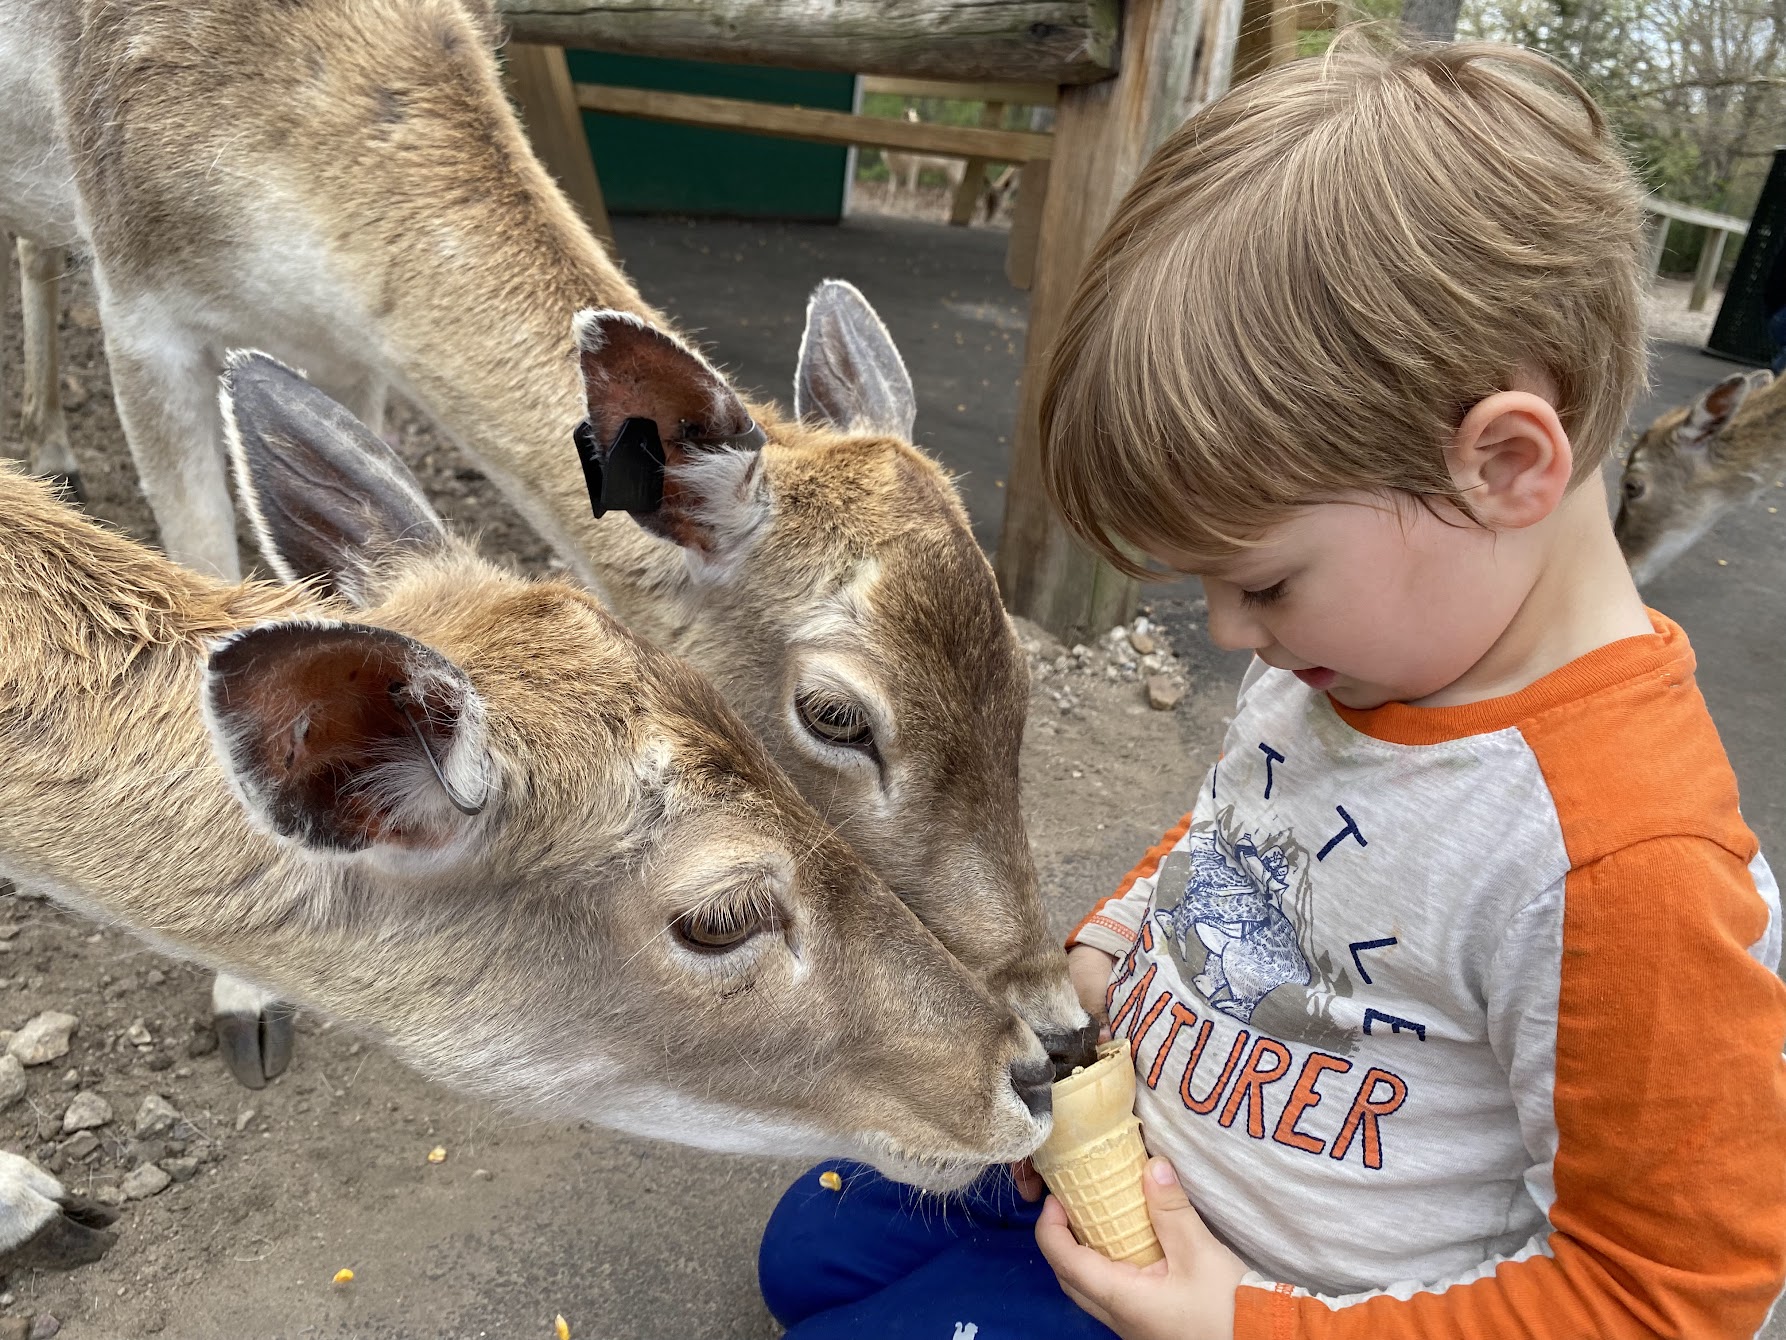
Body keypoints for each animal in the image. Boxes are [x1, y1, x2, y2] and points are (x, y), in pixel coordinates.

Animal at [0, 0, 1092, 1090]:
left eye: (1020, 671)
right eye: (835, 715)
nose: (1064, 1024)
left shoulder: (344, 360)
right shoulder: (138, 302)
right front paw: (248, 1005)